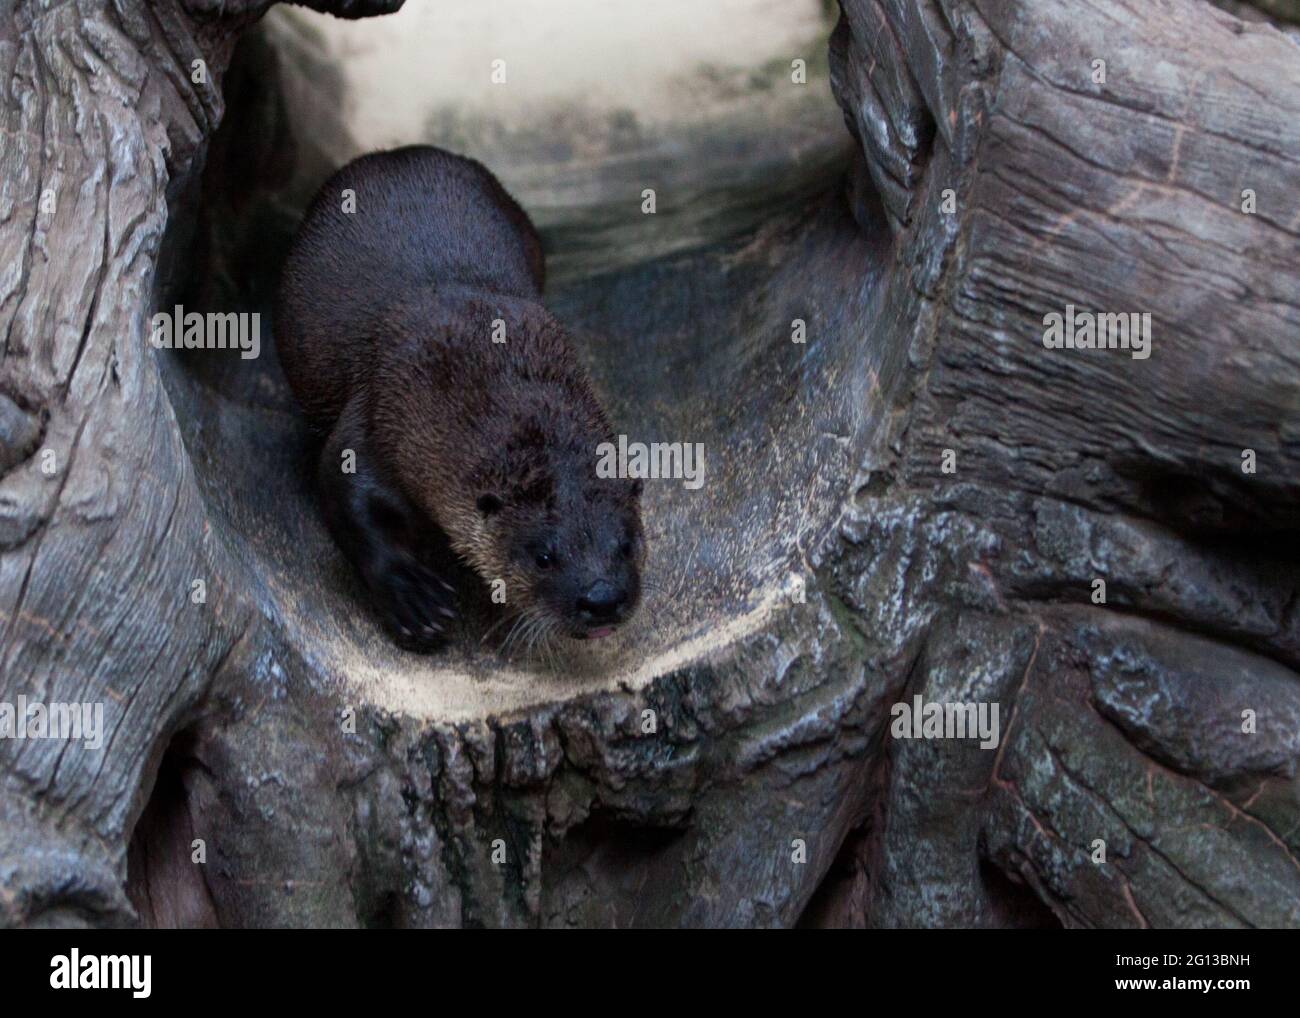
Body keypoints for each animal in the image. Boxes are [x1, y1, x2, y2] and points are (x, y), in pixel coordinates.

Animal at [274, 145, 644, 652]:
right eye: (544, 557)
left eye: (626, 543)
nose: (603, 598)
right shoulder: (378, 417)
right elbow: (348, 501)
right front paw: (414, 600)